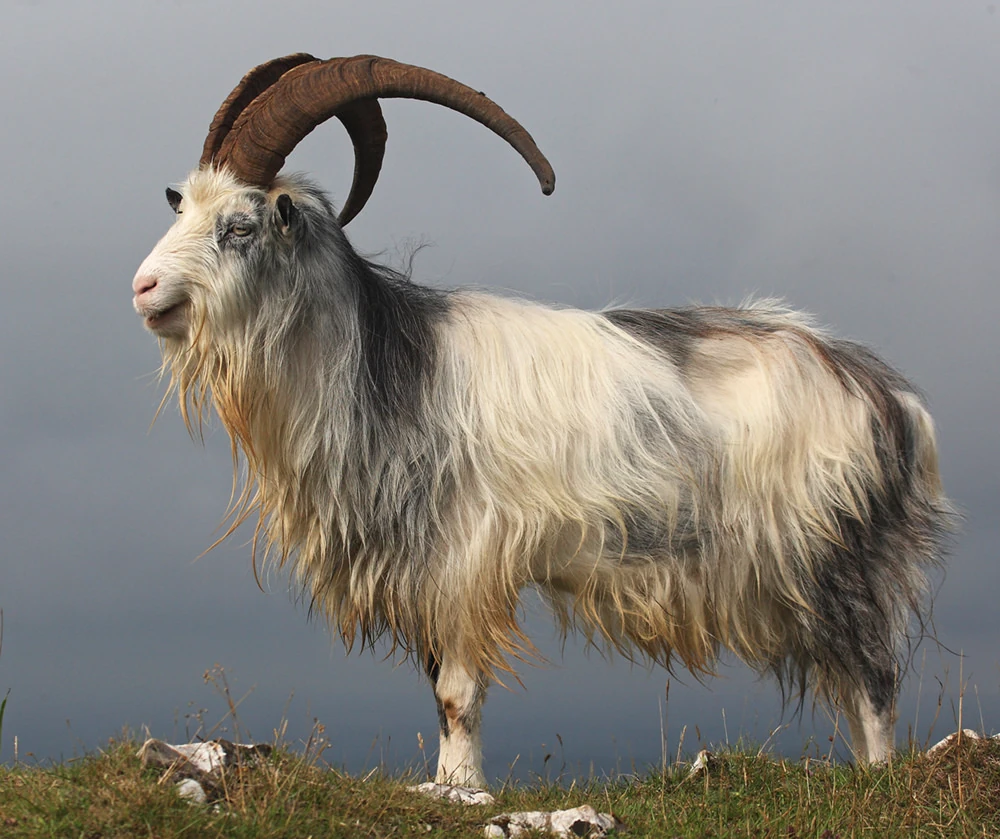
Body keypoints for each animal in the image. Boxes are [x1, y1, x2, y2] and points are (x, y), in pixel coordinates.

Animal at [132, 54, 953, 788]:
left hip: (834, 554)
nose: (143, 288)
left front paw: (462, 789)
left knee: (874, 679)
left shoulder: (465, 556)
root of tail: (894, 402)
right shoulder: (426, 568)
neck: (387, 364)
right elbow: (437, 682)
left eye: (240, 226)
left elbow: (458, 692)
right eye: (180, 207)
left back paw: (881, 782)